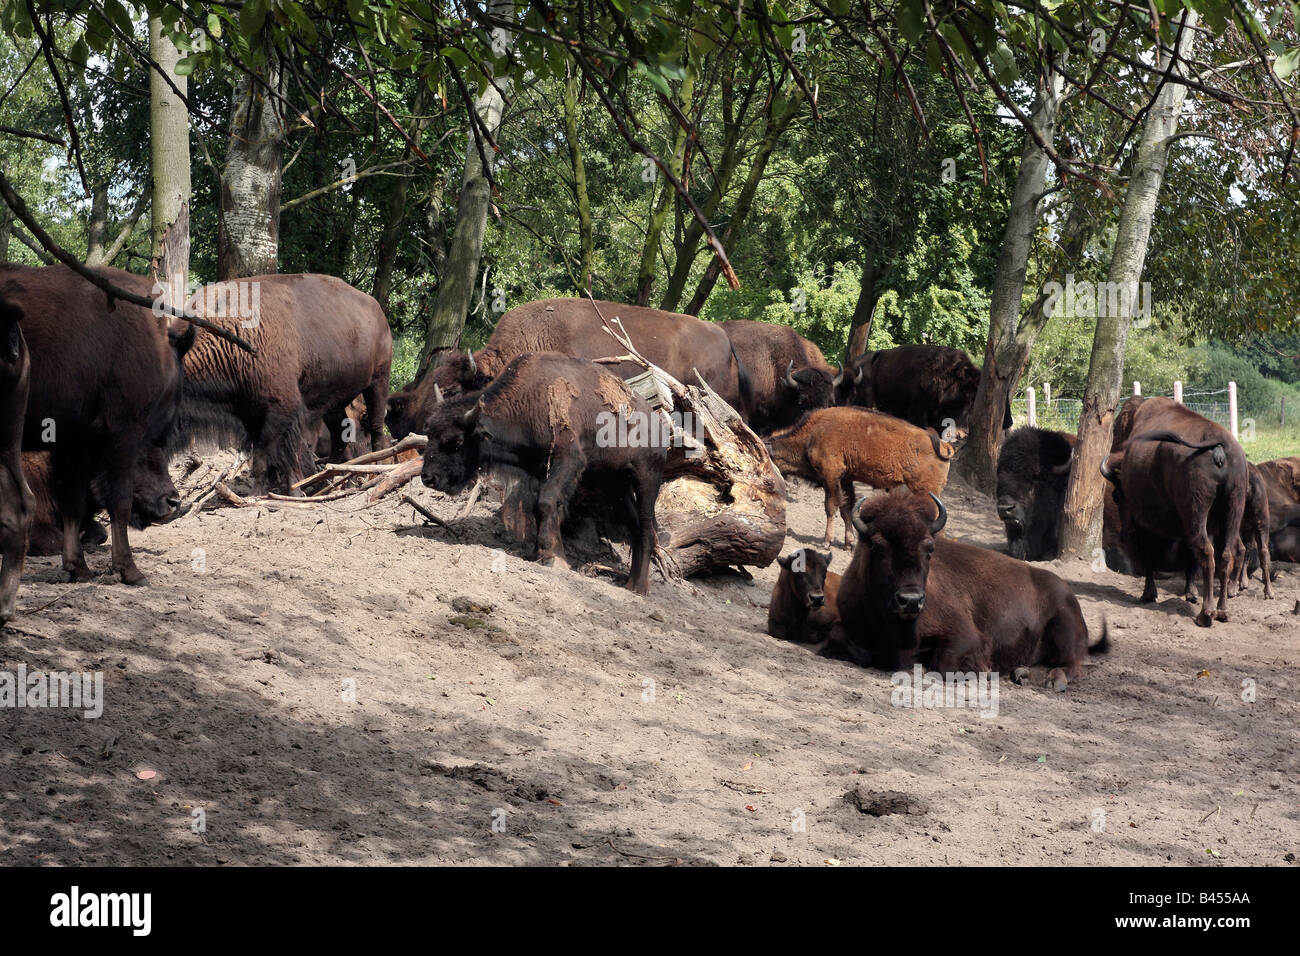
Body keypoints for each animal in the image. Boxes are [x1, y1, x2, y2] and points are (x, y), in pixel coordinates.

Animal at [0, 264, 194, 584]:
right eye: (143, 457)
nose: (173, 502)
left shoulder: (72, 442)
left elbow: (73, 502)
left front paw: (78, 568)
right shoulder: (123, 434)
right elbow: (119, 500)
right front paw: (130, 571)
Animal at [180, 274, 392, 492]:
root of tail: (377, 311)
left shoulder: (284, 409)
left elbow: (276, 453)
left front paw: (289, 489)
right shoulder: (252, 415)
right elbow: (267, 455)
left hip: (378, 380)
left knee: (376, 427)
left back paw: (375, 471)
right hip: (335, 400)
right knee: (339, 434)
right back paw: (327, 478)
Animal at [420, 351, 666, 595]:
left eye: (457, 442)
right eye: (429, 433)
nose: (428, 477)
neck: (527, 400)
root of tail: (657, 421)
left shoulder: (569, 459)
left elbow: (547, 502)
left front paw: (552, 557)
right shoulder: (539, 470)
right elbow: (538, 507)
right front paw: (540, 553)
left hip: (646, 477)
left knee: (646, 527)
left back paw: (640, 587)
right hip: (616, 484)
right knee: (635, 526)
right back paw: (631, 583)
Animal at [831, 487, 1107, 690]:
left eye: (929, 548)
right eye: (878, 546)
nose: (910, 600)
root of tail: (1067, 591)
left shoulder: (965, 636)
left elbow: (945, 664)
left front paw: (983, 672)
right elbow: (841, 637)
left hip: (1065, 627)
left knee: (1072, 663)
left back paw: (1053, 680)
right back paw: (1021, 673)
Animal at [1101, 396, 1247, 627]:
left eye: (1117, 495)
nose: (1124, 533)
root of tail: (1219, 446)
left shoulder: (1145, 522)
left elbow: (1149, 555)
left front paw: (1148, 594)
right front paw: (1190, 594)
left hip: (1197, 512)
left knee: (1207, 553)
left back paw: (1206, 614)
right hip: (1233, 509)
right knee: (1226, 554)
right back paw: (1223, 611)